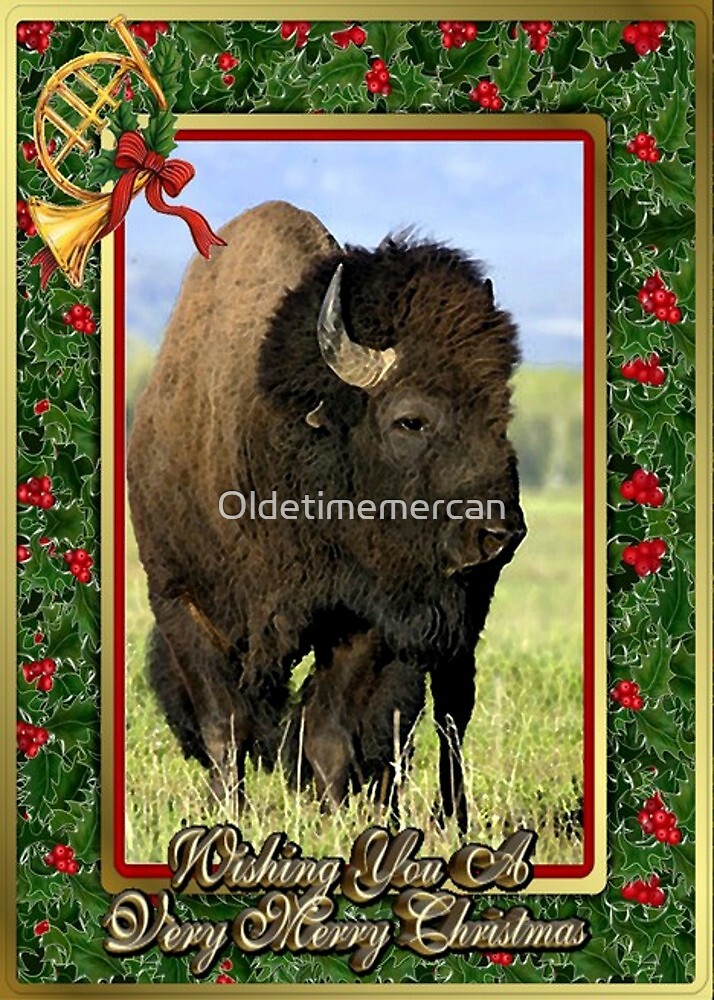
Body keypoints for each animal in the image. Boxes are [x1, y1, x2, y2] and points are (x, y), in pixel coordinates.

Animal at [127, 200, 526, 833]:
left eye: (499, 413)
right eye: (410, 419)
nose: (499, 533)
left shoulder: (356, 616)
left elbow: (332, 731)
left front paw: (337, 820)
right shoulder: (179, 600)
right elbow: (223, 725)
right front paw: (227, 815)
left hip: (461, 624)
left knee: (448, 715)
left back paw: (449, 817)